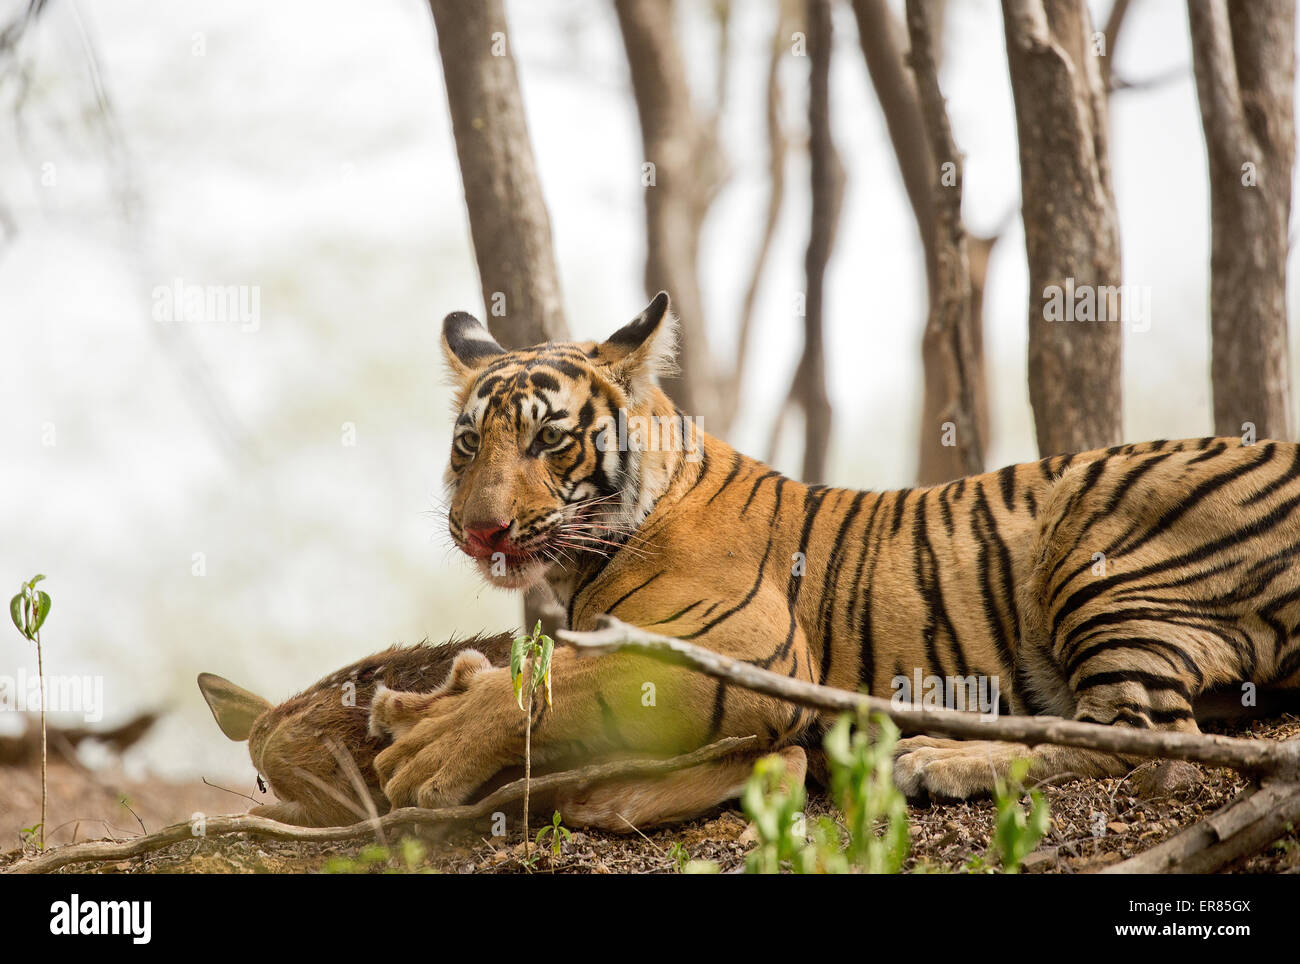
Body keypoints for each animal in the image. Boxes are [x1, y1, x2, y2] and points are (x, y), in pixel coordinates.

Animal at [367, 291, 1300, 827]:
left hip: (1099, 541)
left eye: (549, 440)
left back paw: (935, 759)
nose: (480, 531)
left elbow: (561, 686)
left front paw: (430, 749)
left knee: (1145, 737)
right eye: (468, 443)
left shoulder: (748, 651)